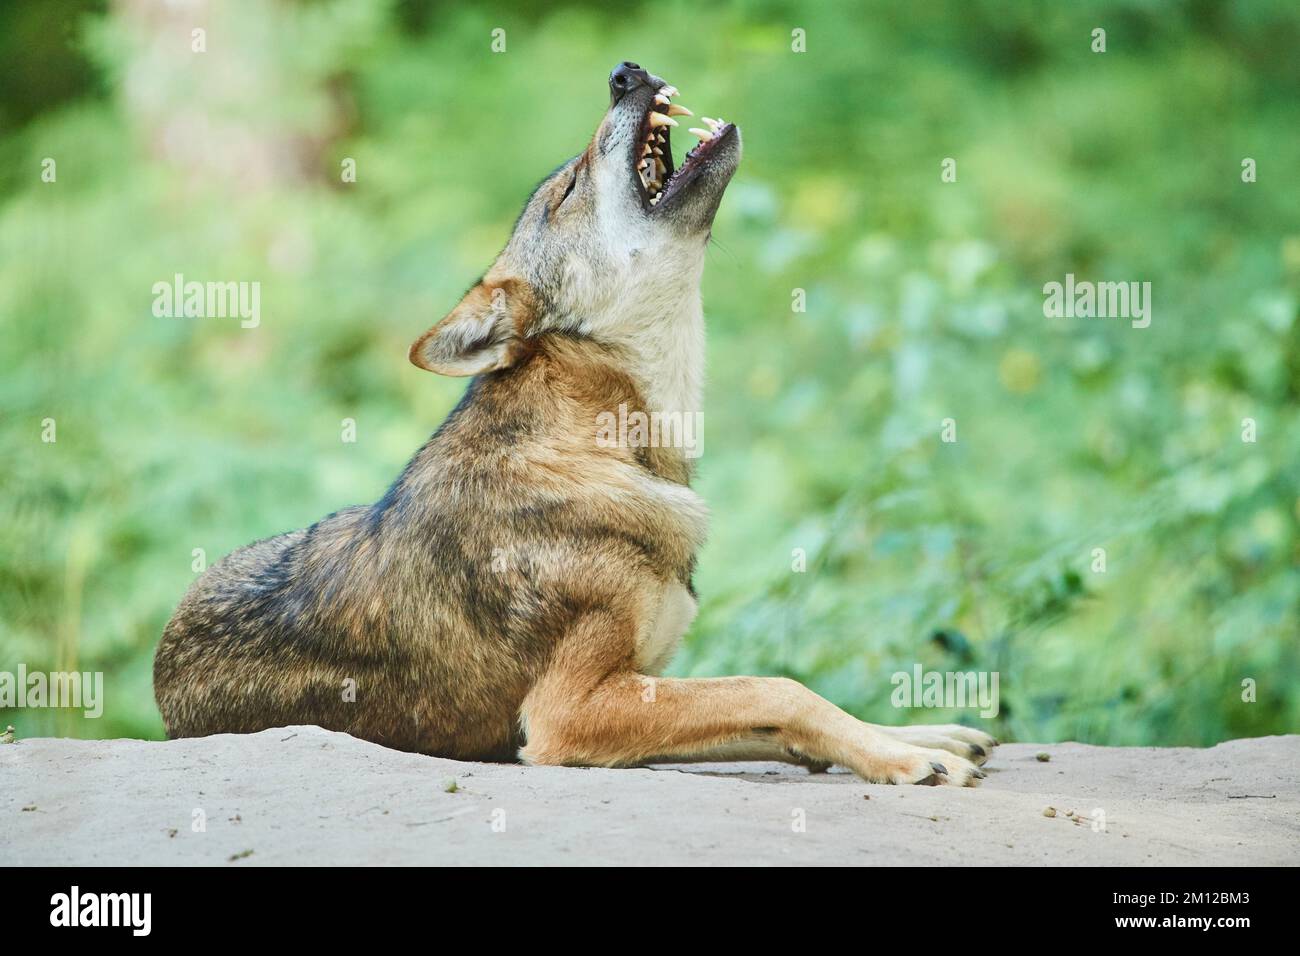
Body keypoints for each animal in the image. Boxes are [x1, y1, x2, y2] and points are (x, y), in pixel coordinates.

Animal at [155, 63, 996, 785]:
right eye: (565, 191)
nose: (625, 72)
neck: (618, 442)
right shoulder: (571, 711)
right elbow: (779, 688)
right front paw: (907, 758)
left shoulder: (641, 683)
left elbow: (783, 711)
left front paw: (921, 735)